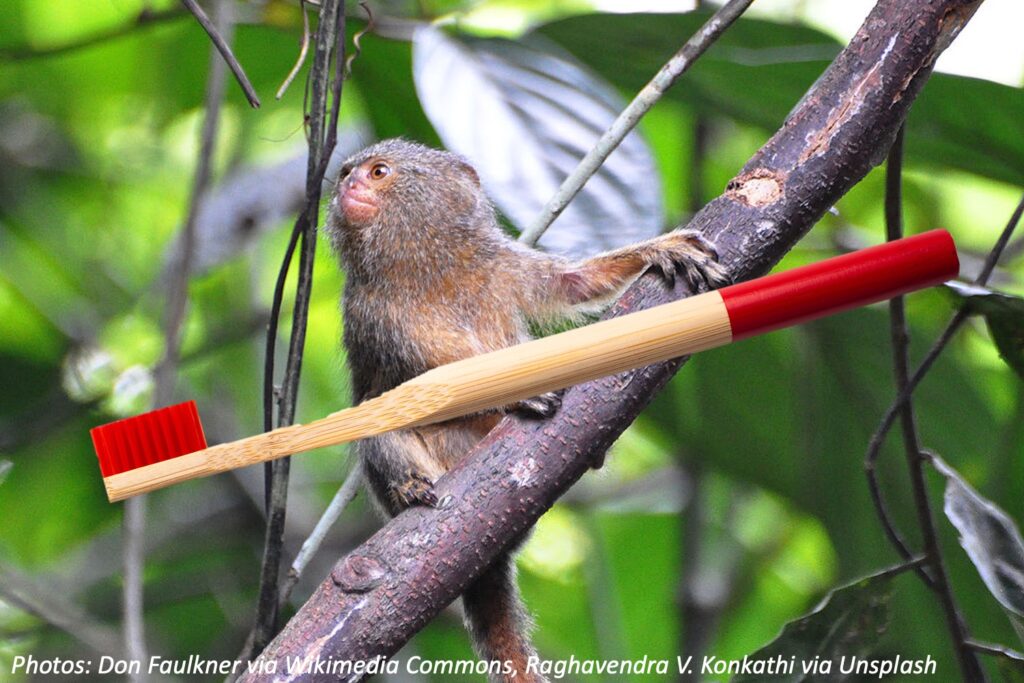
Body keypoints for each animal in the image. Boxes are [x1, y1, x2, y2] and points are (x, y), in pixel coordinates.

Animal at [327, 138, 727, 682]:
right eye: (346, 172)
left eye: (378, 172)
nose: (348, 185)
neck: (428, 264)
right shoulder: (370, 311)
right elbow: (425, 379)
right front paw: (515, 393)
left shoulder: (504, 267)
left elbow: (573, 283)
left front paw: (660, 249)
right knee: (377, 421)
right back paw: (409, 486)